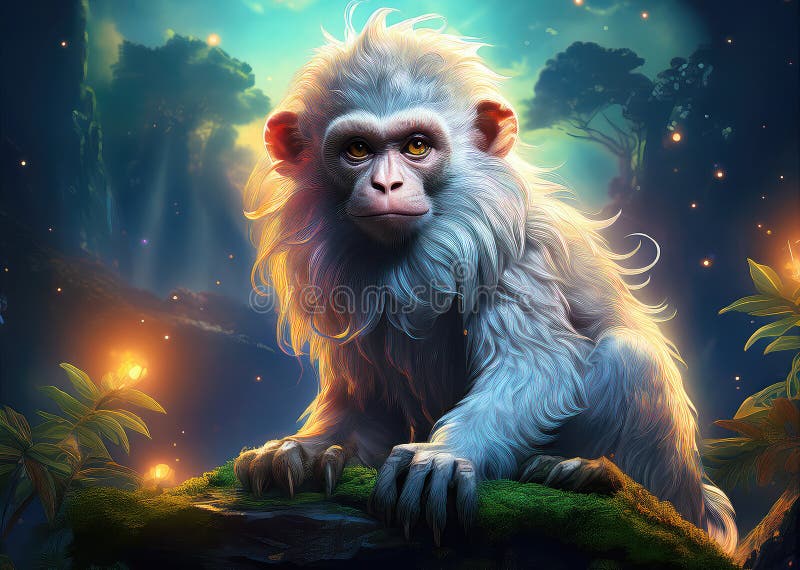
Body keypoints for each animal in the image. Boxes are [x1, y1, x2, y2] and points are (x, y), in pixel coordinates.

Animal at [234, 8, 737, 554]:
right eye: (357, 150)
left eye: (416, 146)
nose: (386, 184)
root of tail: (703, 506)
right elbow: (364, 398)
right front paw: (306, 450)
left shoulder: (520, 253)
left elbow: (538, 367)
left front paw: (443, 455)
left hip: (677, 487)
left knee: (630, 356)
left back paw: (594, 472)